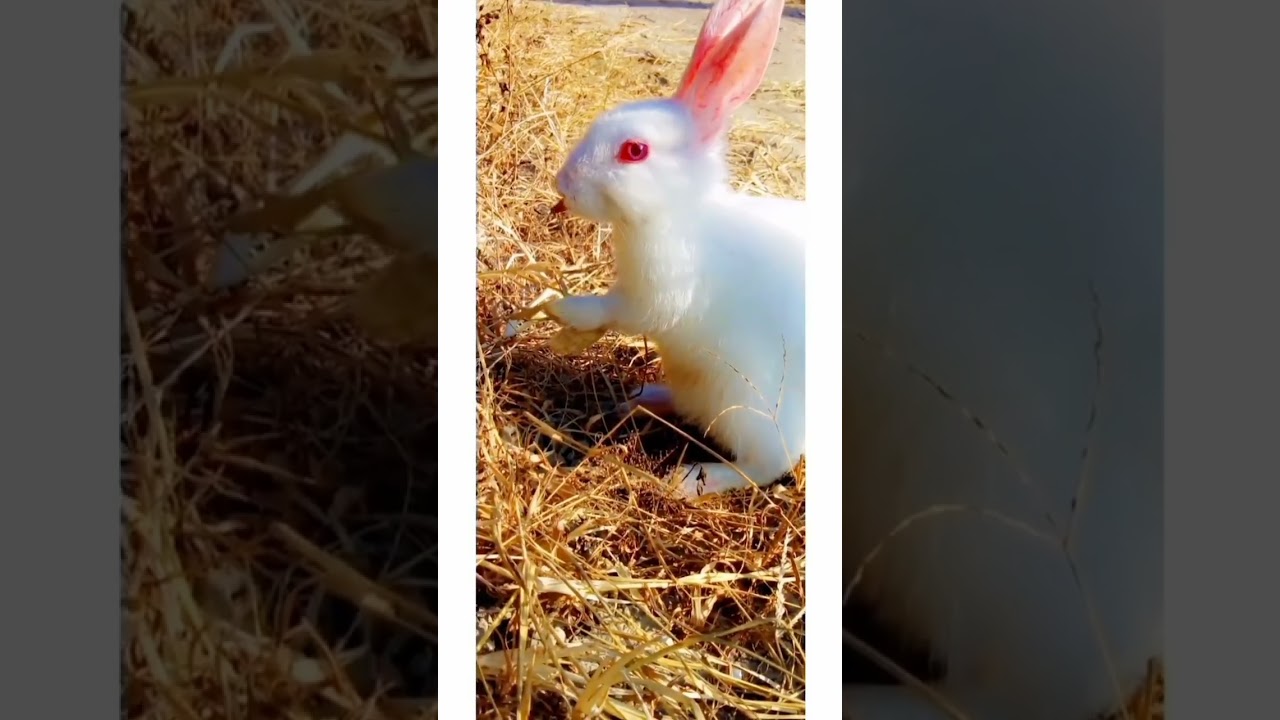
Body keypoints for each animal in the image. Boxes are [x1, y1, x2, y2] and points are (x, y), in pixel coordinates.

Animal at [547, 0, 805, 500]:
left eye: (634, 151)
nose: (563, 184)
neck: (683, 211)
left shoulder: (657, 297)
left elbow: (616, 310)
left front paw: (566, 310)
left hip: (749, 410)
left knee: (766, 465)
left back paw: (693, 478)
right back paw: (641, 399)